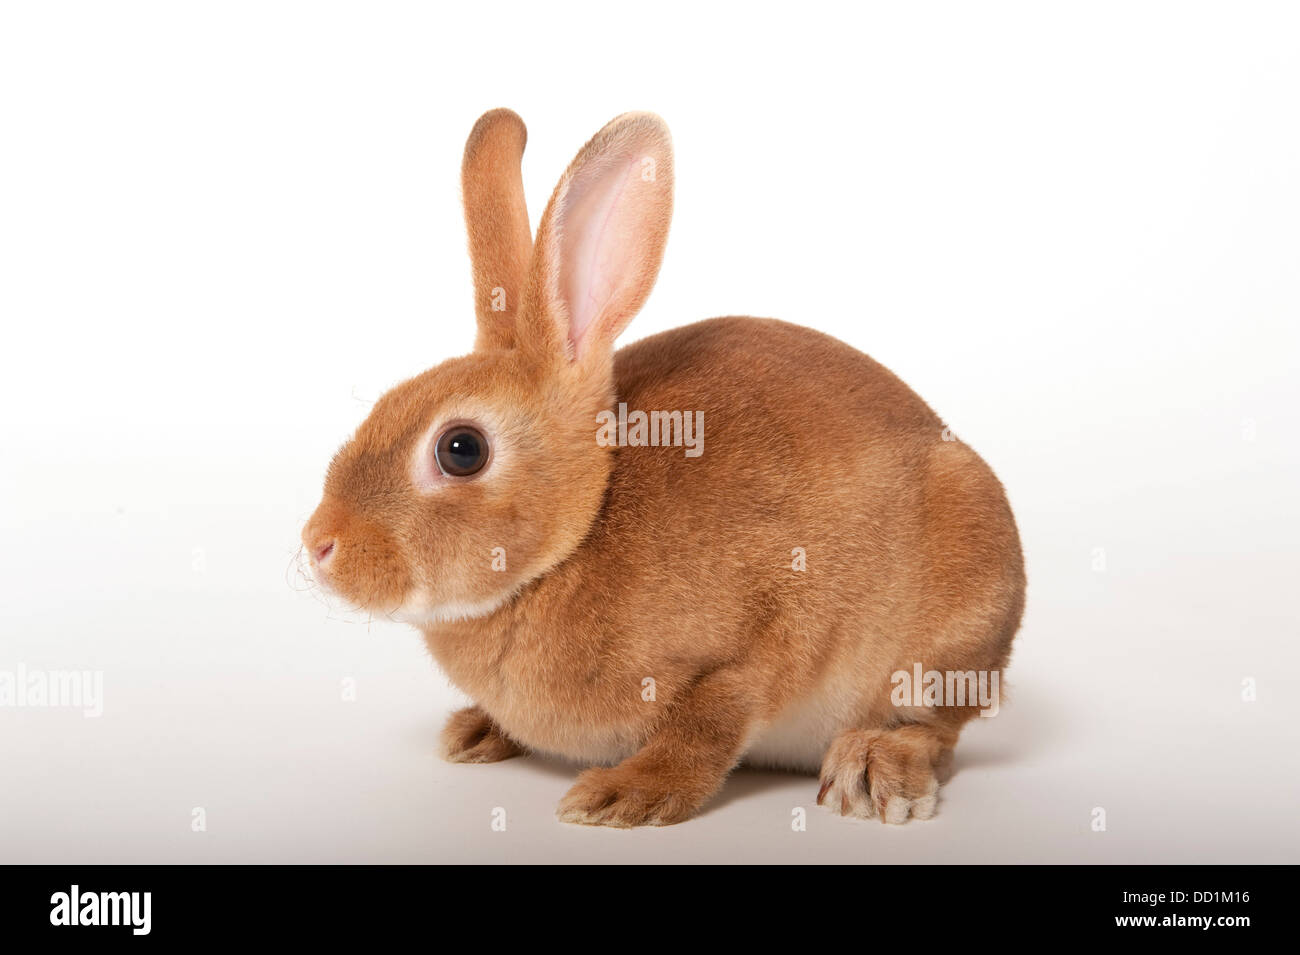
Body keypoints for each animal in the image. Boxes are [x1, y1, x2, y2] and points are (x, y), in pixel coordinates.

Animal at [301, 108, 1026, 827]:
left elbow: (706, 725)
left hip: (954, 624)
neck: (574, 538)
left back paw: (875, 768)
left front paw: (624, 794)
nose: (319, 545)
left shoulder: (755, 647)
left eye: (461, 449)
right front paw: (478, 731)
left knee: (933, 728)